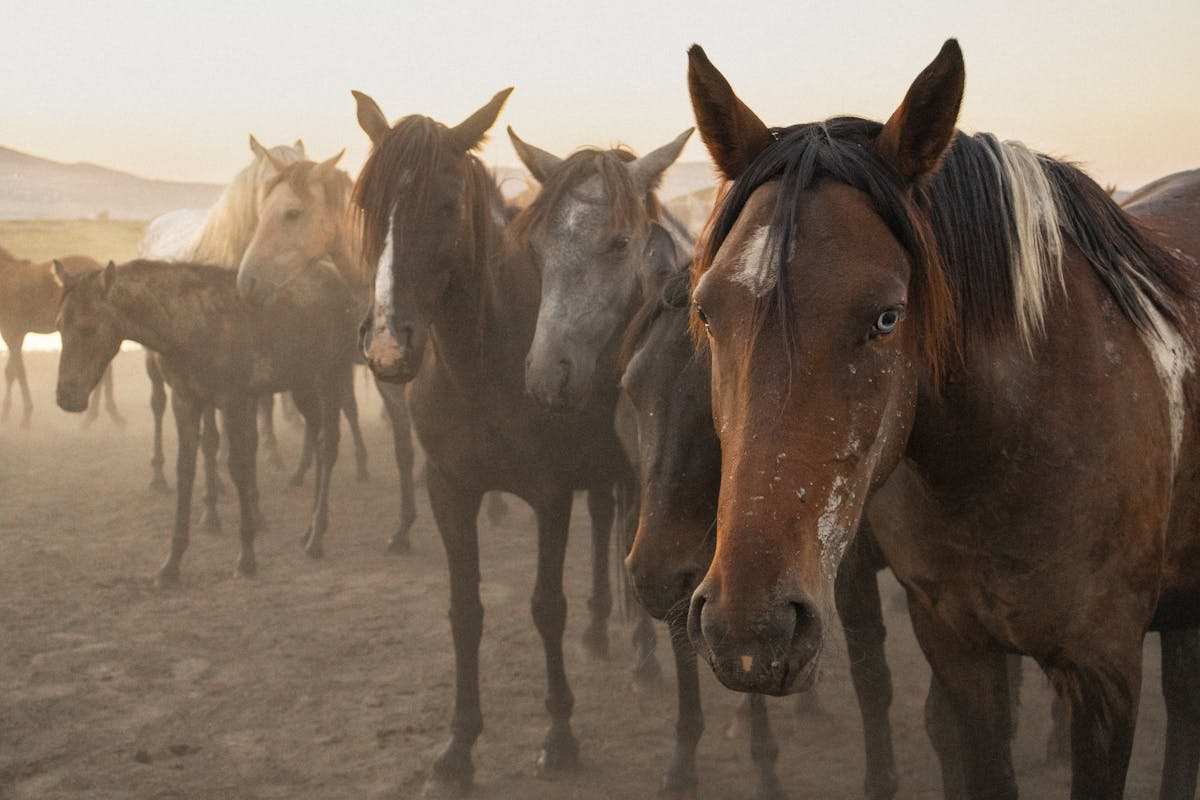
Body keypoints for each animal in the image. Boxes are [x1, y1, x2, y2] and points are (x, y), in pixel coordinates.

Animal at [0, 248, 122, 428]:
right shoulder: (15, 334)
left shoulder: (12, 332)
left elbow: (18, 372)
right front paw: (7, 414)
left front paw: (24, 416)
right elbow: (12, 372)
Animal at [54, 257, 355, 584]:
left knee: (329, 444)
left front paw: (246, 556)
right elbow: (186, 469)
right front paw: (171, 563)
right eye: (59, 325)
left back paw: (317, 538)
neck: (188, 325)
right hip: (302, 382)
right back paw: (309, 528)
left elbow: (238, 466)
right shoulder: (186, 400)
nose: (65, 397)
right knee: (317, 436)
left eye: (87, 328)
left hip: (332, 374)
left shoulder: (233, 401)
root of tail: (338, 282)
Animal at [351, 88, 639, 795]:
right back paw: (599, 628)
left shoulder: (549, 495)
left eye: (446, 204)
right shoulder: (448, 490)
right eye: (368, 203)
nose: (388, 346)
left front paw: (559, 735)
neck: (483, 365)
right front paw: (458, 745)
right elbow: (465, 610)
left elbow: (545, 606)